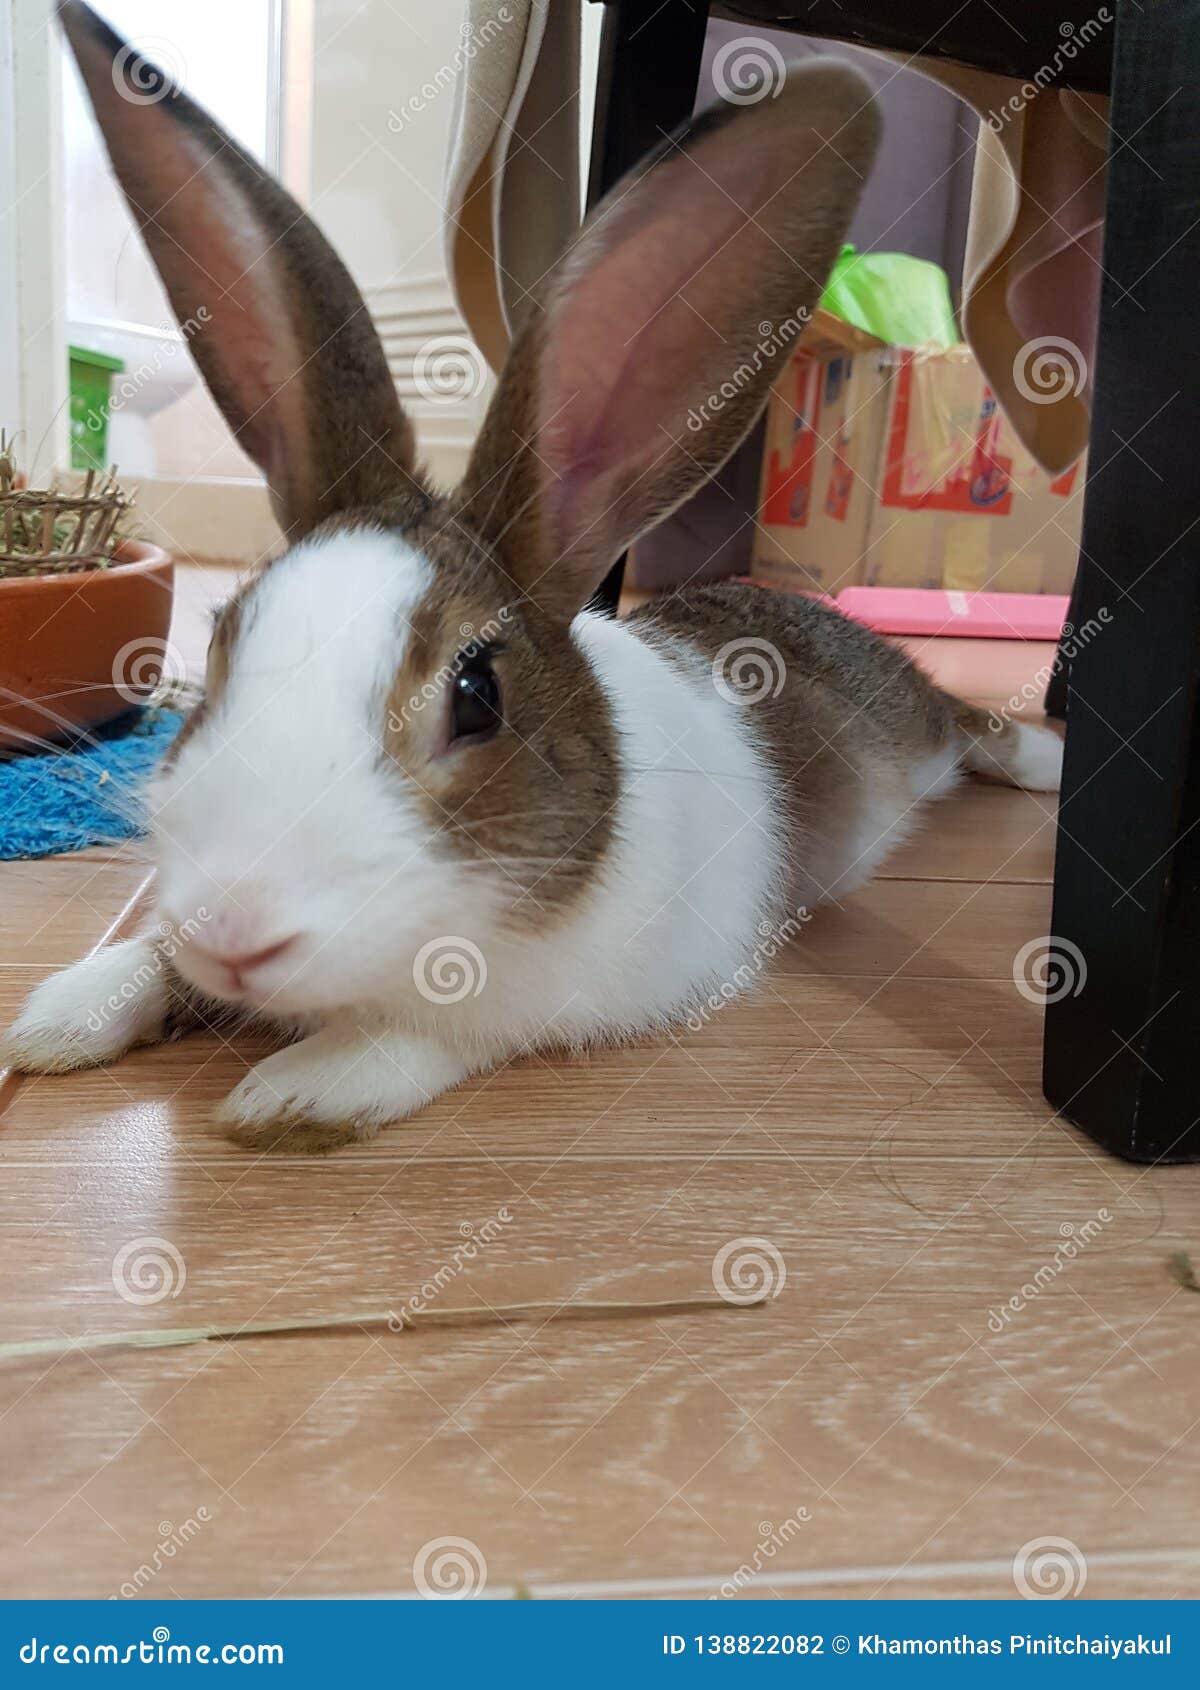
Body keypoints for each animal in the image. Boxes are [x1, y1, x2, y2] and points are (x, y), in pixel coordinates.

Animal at [3, 3, 1063, 1153]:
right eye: (219, 646)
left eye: (477, 697)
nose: (237, 925)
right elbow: (155, 961)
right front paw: (60, 1015)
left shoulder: (548, 999)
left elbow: (425, 1037)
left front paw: (293, 1095)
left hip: (920, 724)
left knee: (972, 722)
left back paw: (1046, 760)